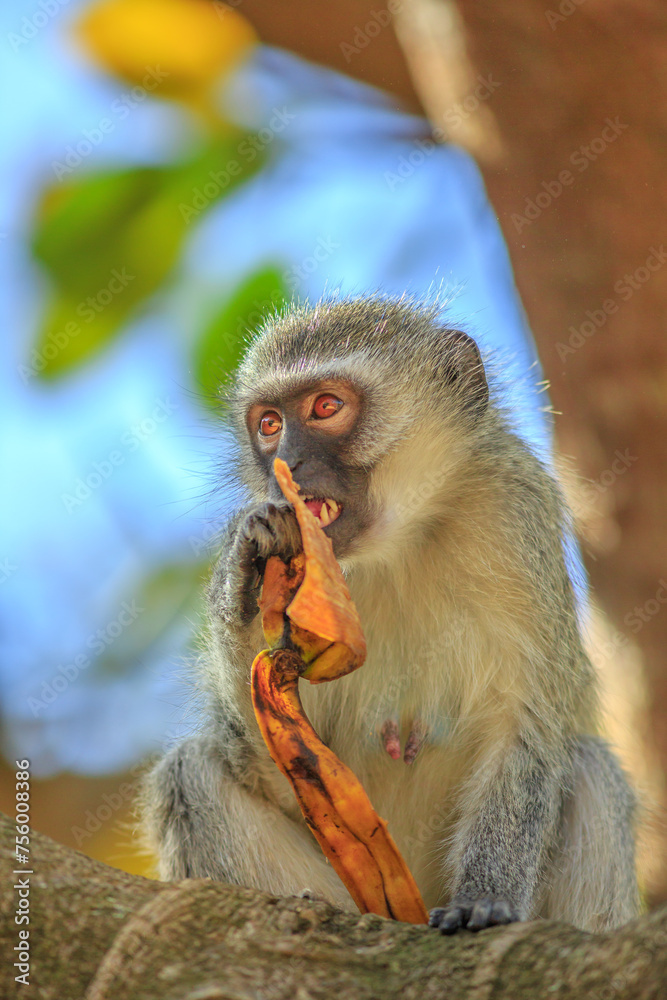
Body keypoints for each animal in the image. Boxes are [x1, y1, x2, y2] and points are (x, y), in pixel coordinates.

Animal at [142, 295, 639, 934]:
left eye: (326, 407)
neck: (402, 542)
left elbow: (524, 728)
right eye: (269, 424)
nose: (287, 463)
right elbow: (280, 773)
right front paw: (248, 564)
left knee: (592, 771)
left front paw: (485, 898)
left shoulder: (516, 511)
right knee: (190, 771)